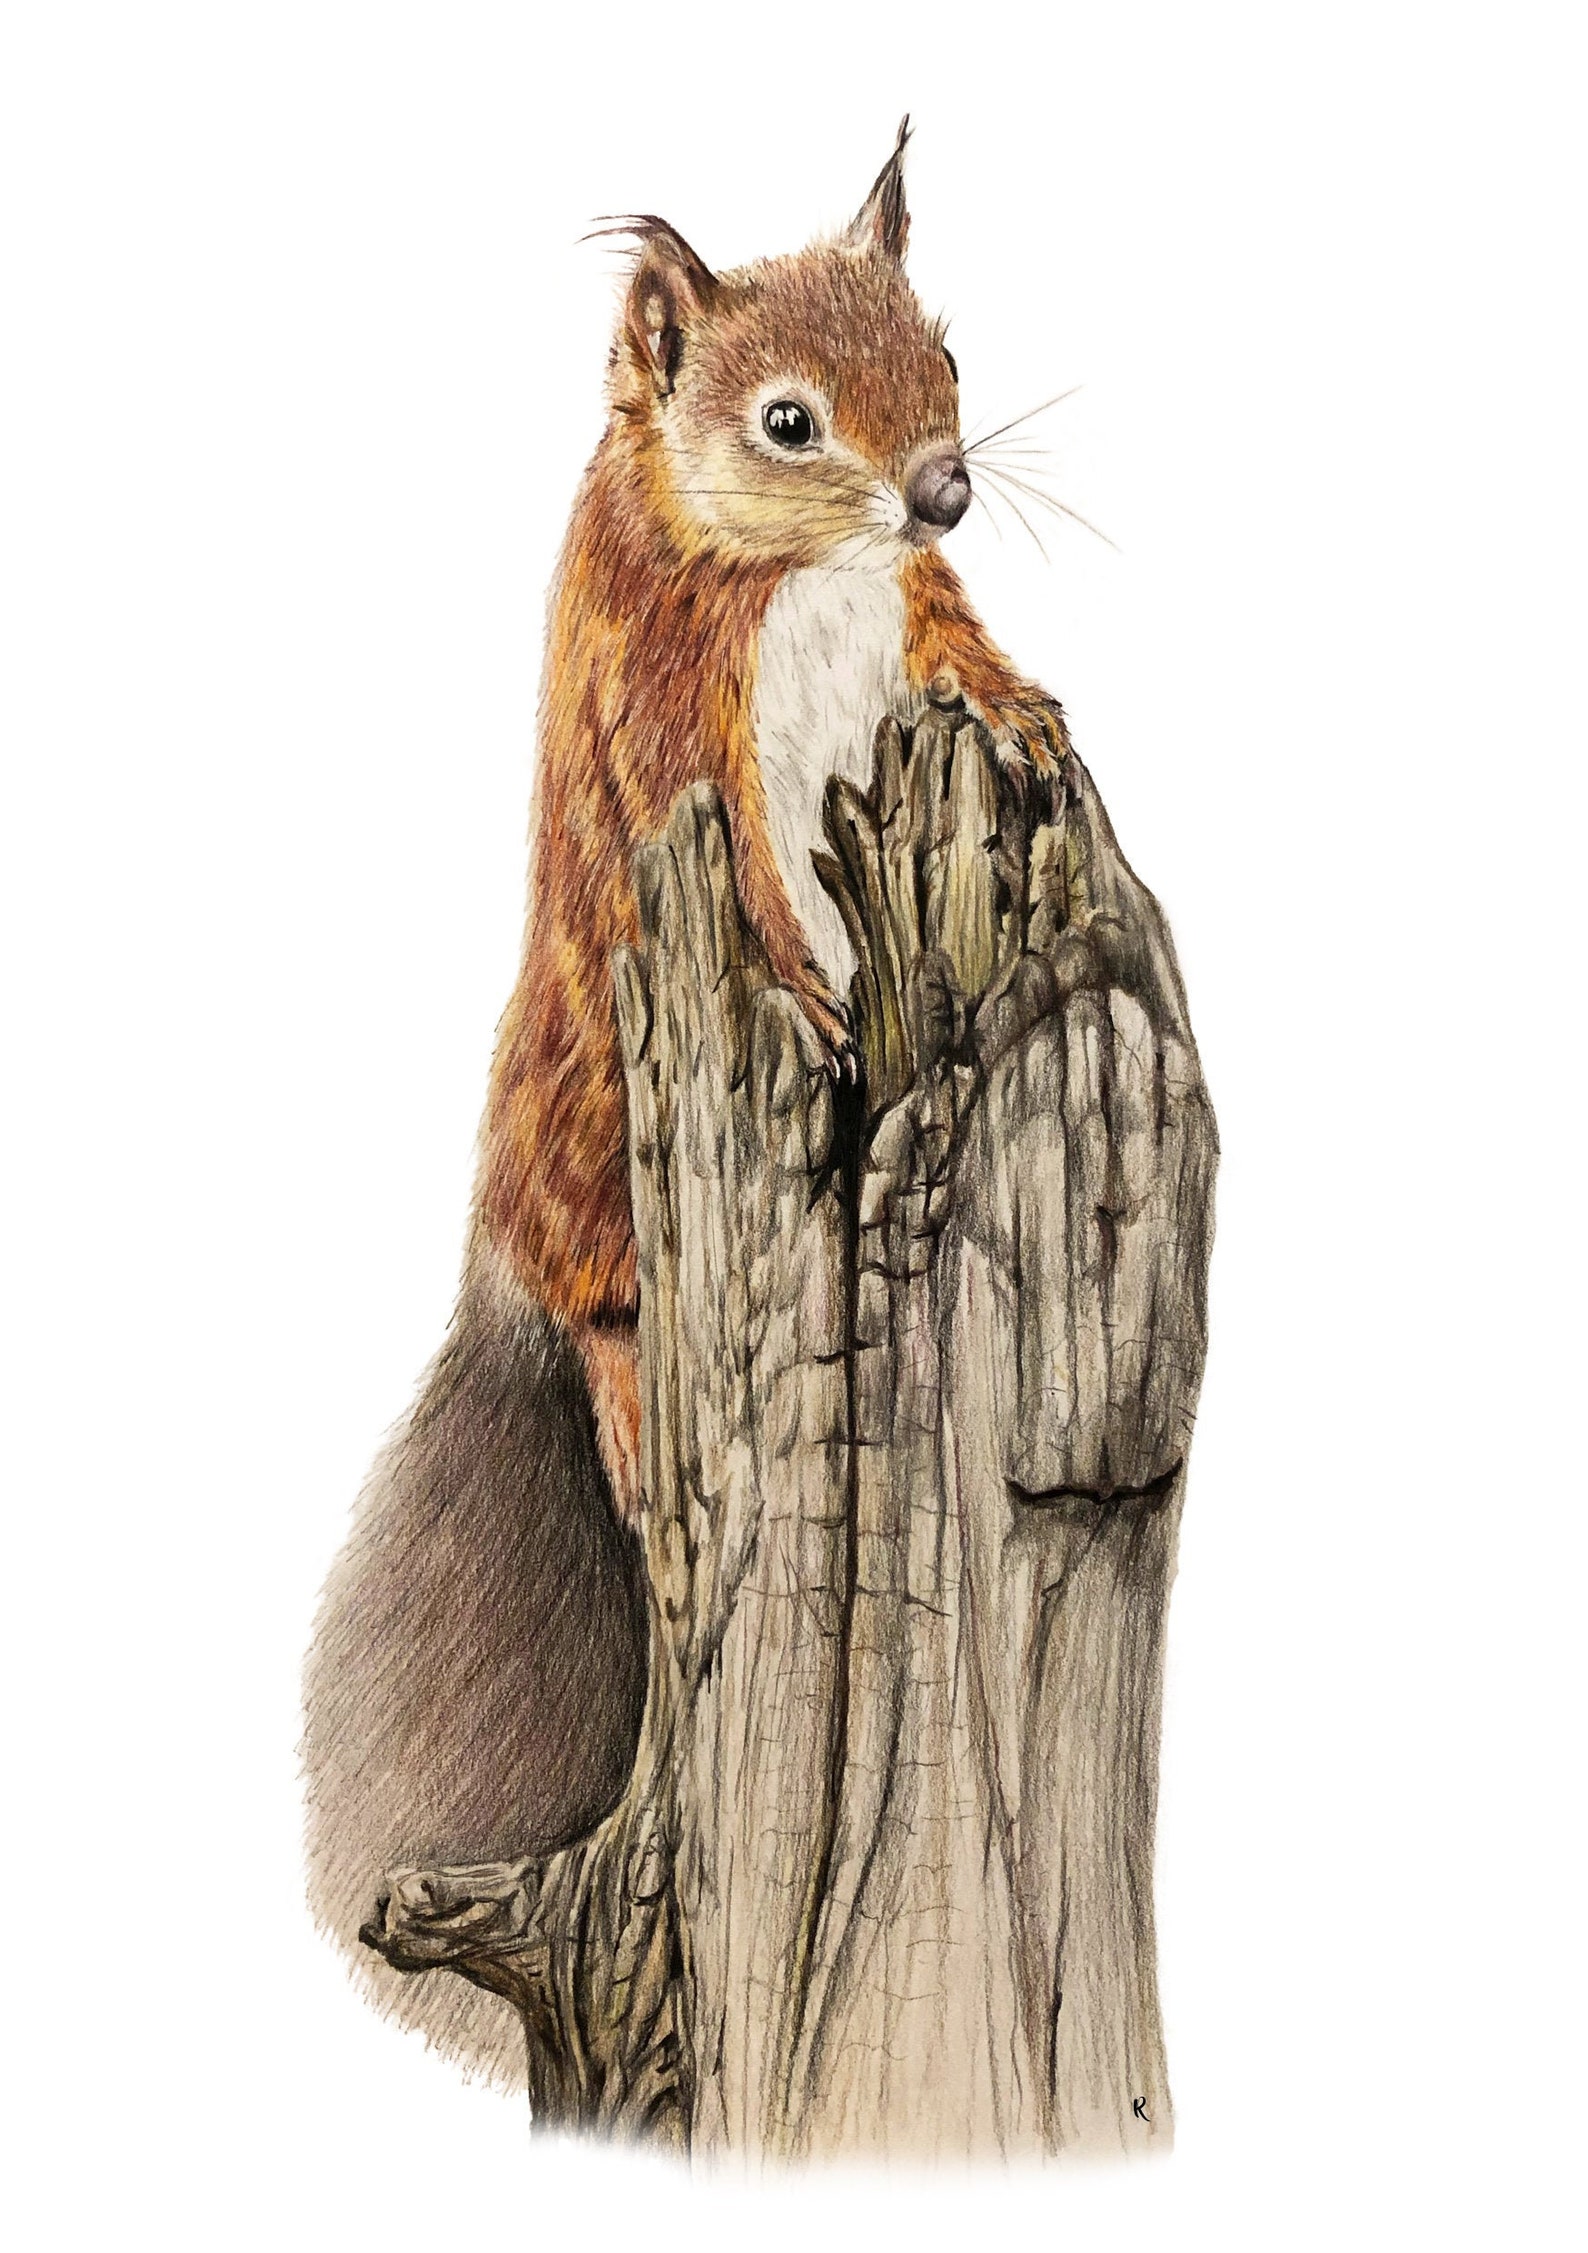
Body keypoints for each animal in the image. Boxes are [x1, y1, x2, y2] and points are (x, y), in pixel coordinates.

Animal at [303, 120, 1072, 2086]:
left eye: (945, 347)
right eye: (786, 419)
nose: (946, 490)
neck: (802, 573)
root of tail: (500, 1250)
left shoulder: (910, 614)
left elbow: (958, 654)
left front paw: (1030, 714)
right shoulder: (661, 697)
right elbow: (710, 838)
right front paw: (804, 990)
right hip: (603, 1227)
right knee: (613, 1354)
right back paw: (649, 1442)